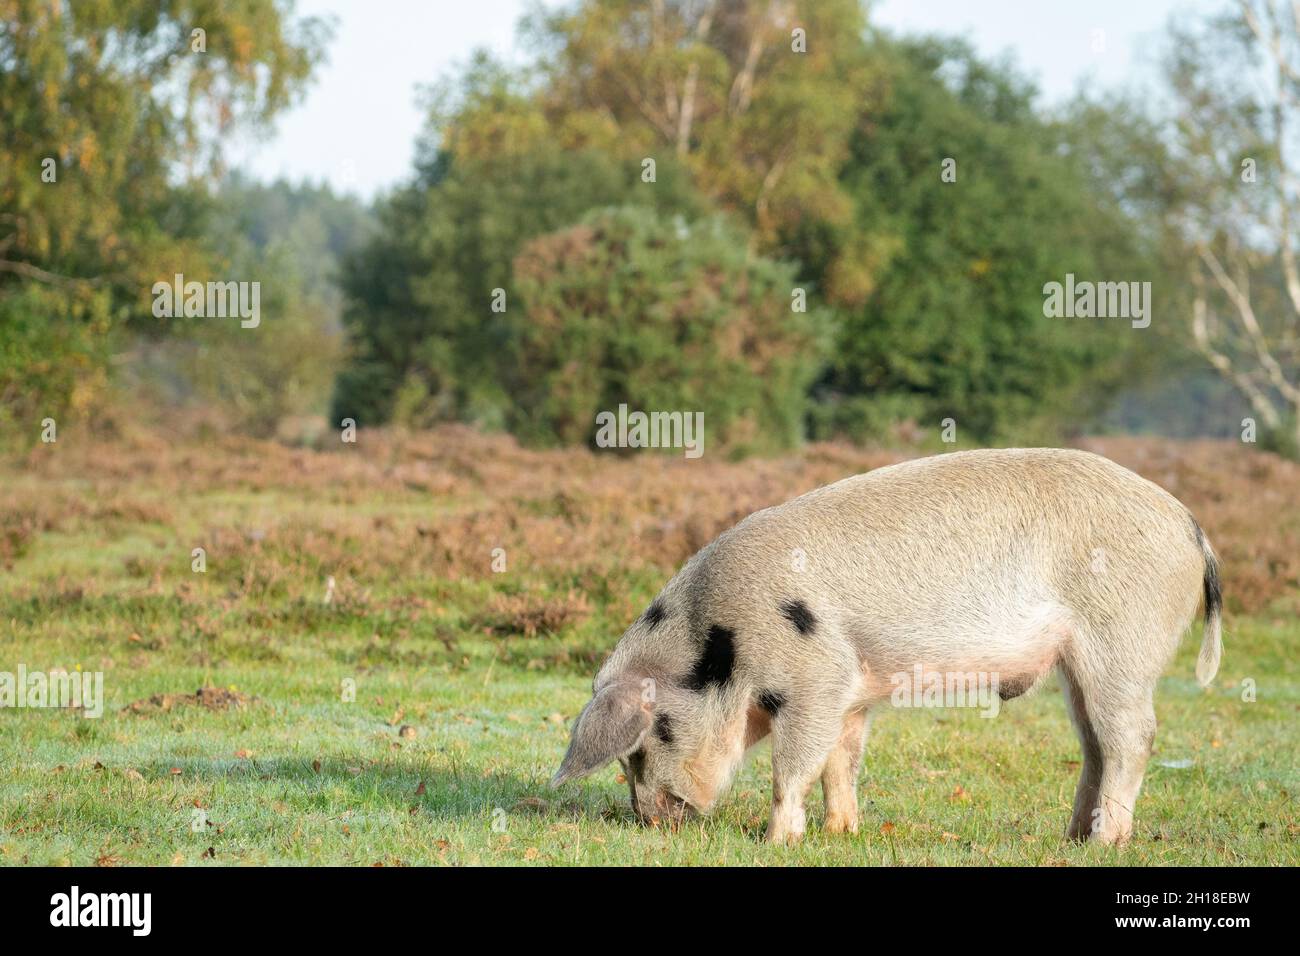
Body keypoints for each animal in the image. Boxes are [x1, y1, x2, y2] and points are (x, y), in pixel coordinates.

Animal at [551, 448, 1223, 846]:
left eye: (652, 735)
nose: (649, 820)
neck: (725, 645)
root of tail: (1191, 527)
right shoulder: (850, 692)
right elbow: (839, 761)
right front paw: (841, 833)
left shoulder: (816, 676)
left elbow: (793, 765)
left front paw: (777, 841)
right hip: (1079, 664)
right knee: (1092, 744)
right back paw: (1072, 838)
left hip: (1123, 641)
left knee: (1133, 736)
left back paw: (1107, 841)